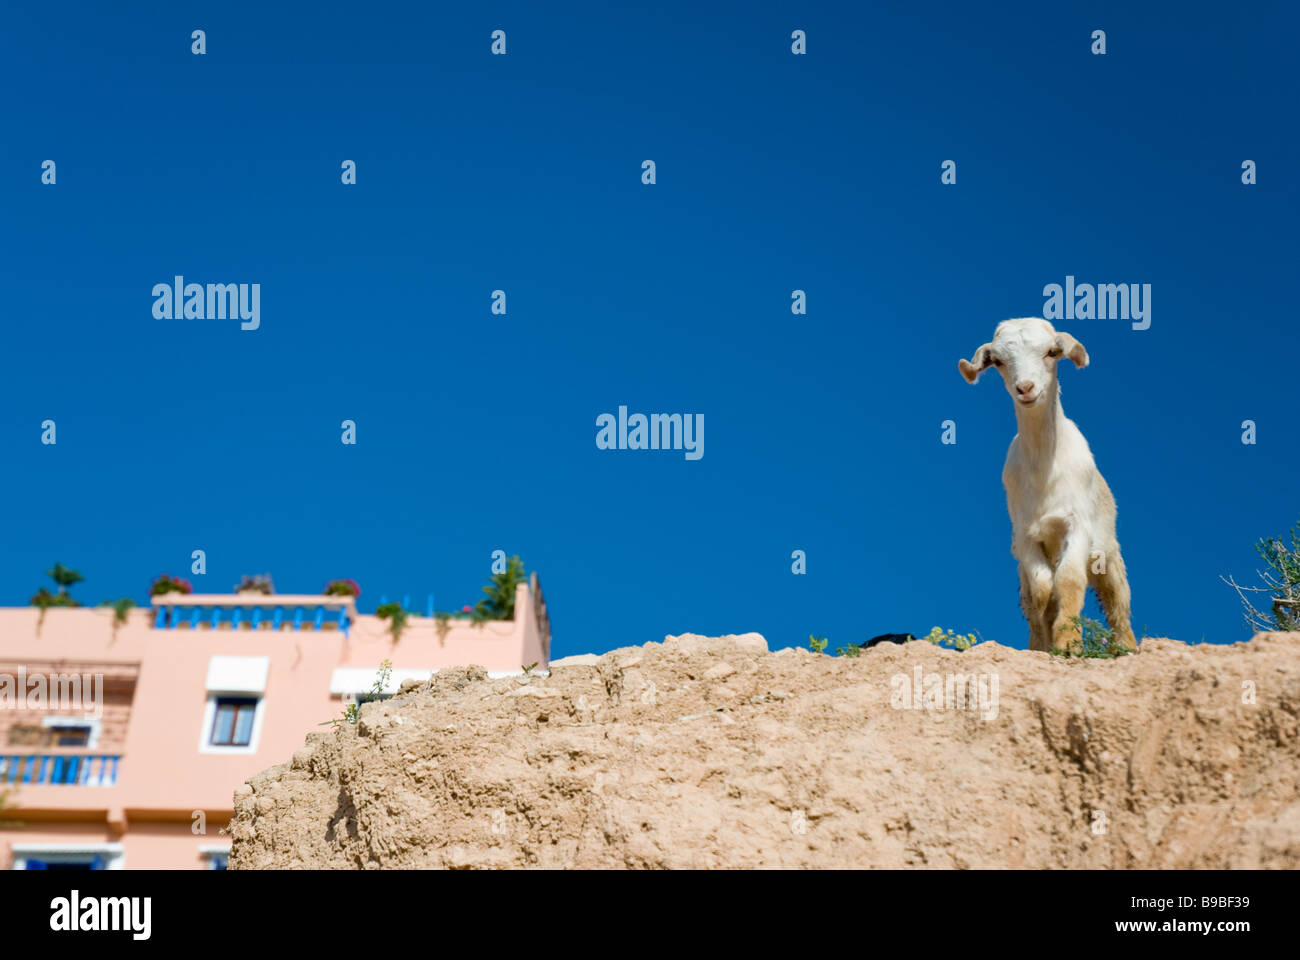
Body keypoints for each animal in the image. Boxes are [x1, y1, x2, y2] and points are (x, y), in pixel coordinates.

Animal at [958, 318, 1136, 654]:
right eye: (997, 361)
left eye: (1052, 352)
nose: (1025, 388)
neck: (1044, 467)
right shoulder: (1024, 534)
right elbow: (1043, 589)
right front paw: (1047, 641)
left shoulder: (1077, 525)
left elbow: (1069, 580)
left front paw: (1068, 643)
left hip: (1108, 554)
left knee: (1118, 603)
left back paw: (1127, 647)